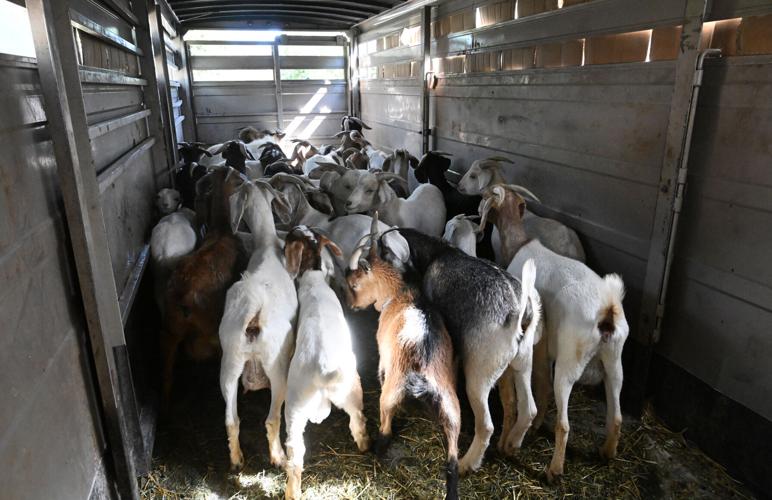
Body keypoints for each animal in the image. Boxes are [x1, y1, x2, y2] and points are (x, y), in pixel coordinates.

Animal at [218, 178, 297, 472]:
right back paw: (278, 458)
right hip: (276, 367)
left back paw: (236, 460)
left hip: (230, 364)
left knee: (231, 419)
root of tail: (253, 314)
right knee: (272, 419)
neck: (266, 245)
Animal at [347, 216, 460, 500]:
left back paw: (375, 455)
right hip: (452, 406)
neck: (402, 294)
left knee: (385, 431)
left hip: (390, 393)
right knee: (453, 459)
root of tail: (421, 373)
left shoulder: (383, 361)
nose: (352, 306)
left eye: (354, 284)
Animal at [378, 228, 540, 473]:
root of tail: (519, 311)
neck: (437, 253)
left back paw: (467, 463)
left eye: (384, 250)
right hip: (523, 361)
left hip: (480, 373)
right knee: (528, 409)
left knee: (486, 426)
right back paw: (511, 445)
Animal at [479, 184, 628, 482]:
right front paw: (535, 425)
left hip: (571, 359)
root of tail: (607, 310)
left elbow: (540, 387)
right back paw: (607, 452)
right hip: (614, 358)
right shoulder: (543, 347)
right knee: (615, 414)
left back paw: (553, 470)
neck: (521, 244)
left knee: (564, 423)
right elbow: (542, 386)